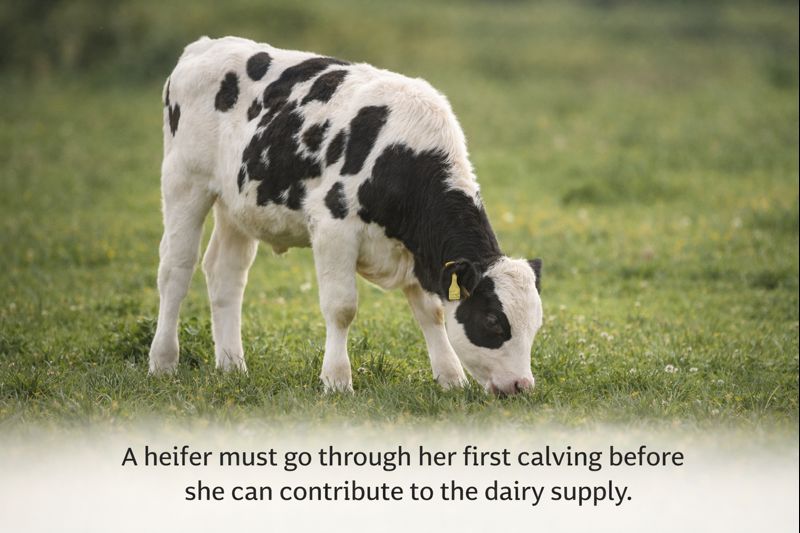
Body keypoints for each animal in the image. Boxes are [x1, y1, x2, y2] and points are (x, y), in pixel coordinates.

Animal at [148, 36, 543, 395]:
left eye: (536, 325)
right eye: (493, 321)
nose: (522, 385)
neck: (400, 157)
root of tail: (205, 45)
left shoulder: (420, 251)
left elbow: (431, 311)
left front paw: (450, 378)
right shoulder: (333, 228)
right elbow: (342, 308)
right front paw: (337, 380)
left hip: (237, 204)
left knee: (225, 273)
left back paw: (232, 366)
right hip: (184, 182)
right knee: (175, 270)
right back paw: (163, 362)